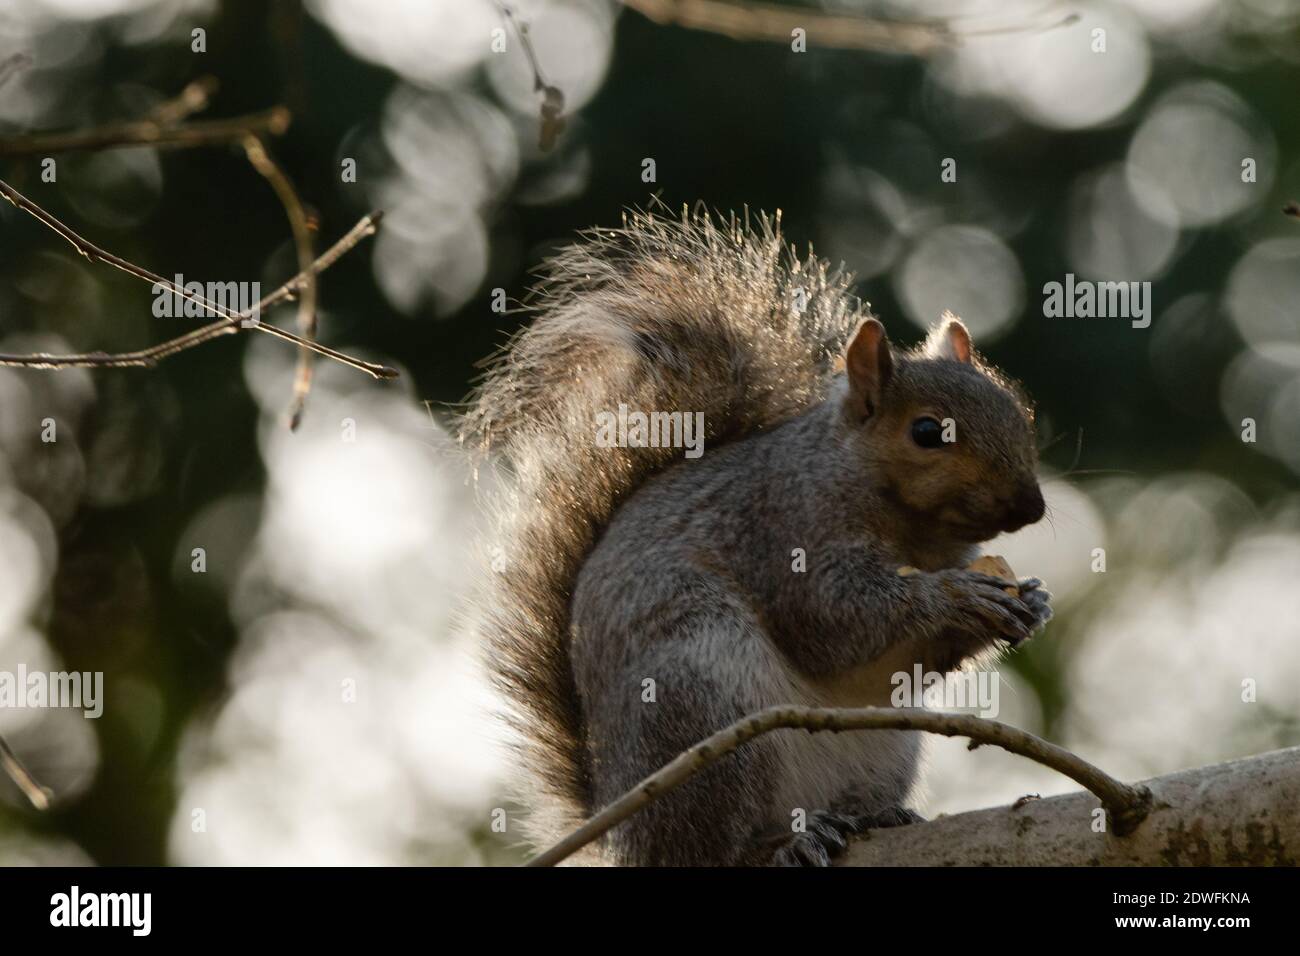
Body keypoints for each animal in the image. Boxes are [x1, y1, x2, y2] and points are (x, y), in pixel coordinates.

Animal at [459, 206, 1052, 866]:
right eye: (926, 432)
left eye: (1016, 408)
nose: (1031, 505)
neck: (916, 536)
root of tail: (626, 834)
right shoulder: (781, 529)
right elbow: (830, 620)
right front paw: (953, 596)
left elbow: (924, 661)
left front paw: (1029, 602)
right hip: (704, 708)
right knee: (719, 845)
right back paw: (782, 843)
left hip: (884, 749)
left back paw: (873, 817)